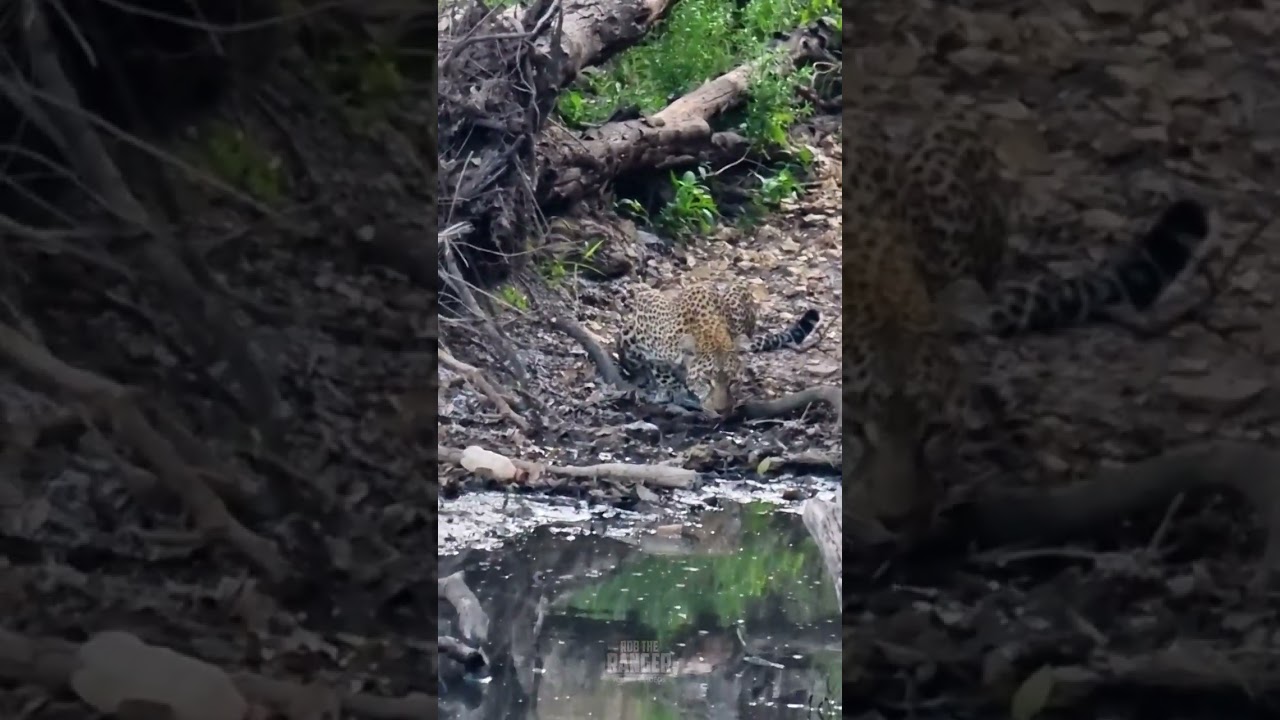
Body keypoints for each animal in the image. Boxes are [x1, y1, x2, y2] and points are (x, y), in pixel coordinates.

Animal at [615, 282, 821, 416]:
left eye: (733, 382)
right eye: (706, 381)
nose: (722, 411)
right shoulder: (647, 309)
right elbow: (661, 368)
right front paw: (671, 390)